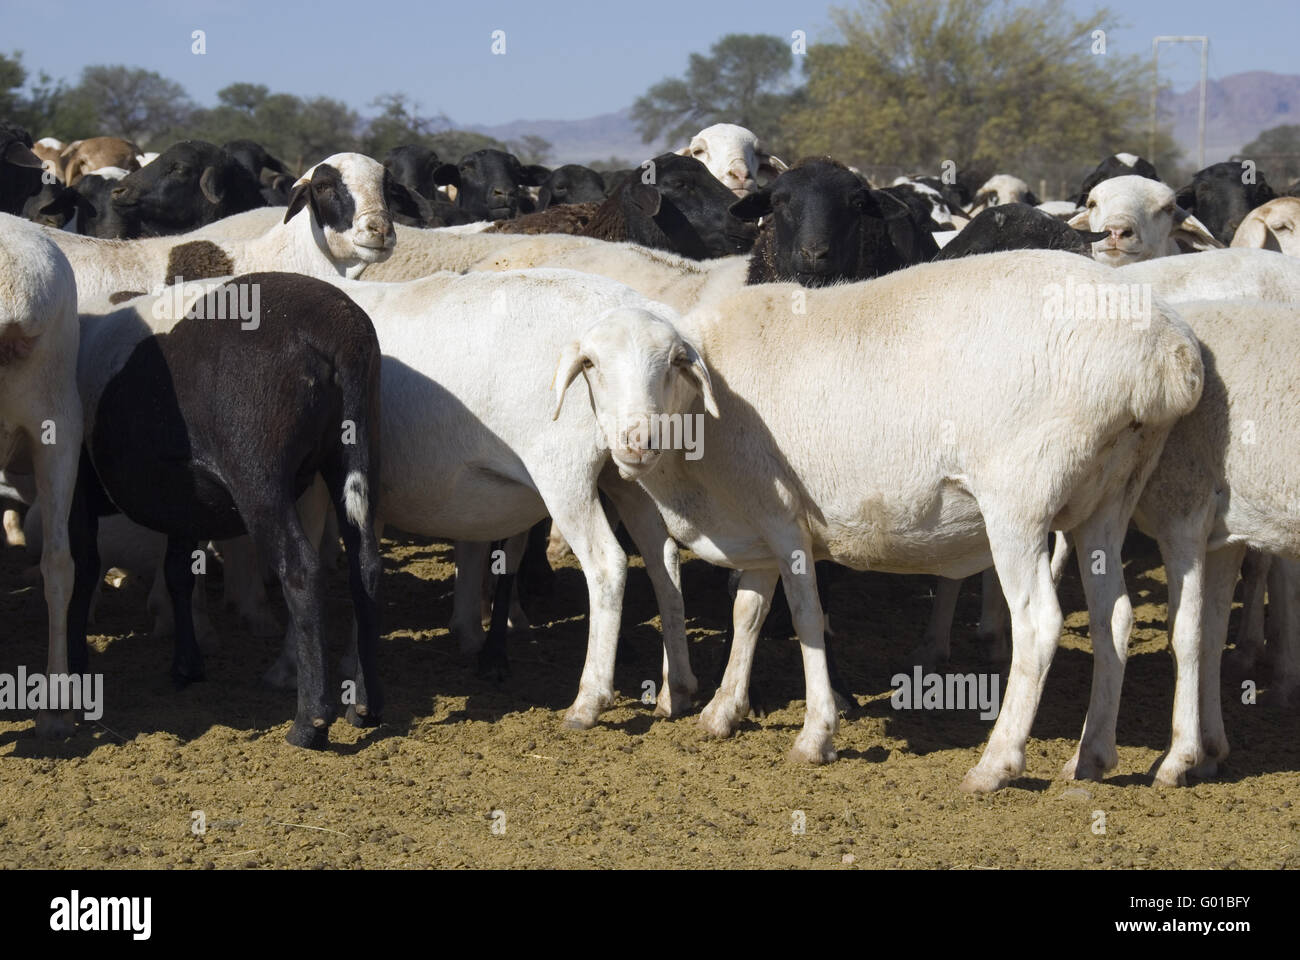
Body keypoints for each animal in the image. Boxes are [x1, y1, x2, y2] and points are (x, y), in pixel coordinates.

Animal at [68, 272, 384, 748]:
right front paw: (187, 664)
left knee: (301, 570)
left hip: (257, 470)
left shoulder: (79, 486)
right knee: (365, 566)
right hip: (354, 450)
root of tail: (339, 330)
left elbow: (84, 567)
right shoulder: (182, 497)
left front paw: (75, 672)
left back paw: (308, 723)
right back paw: (365, 706)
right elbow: (178, 574)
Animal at [561, 249, 1203, 790]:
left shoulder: (784, 518)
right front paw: (723, 712)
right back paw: (1091, 756)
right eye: (590, 365)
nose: (635, 442)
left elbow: (805, 619)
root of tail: (1166, 358)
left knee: (1040, 623)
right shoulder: (759, 519)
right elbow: (748, 612)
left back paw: (996, 763)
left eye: (672, 363)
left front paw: (816, 736)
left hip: (1020, 497)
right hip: (1108, 498)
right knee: (1113, 618)